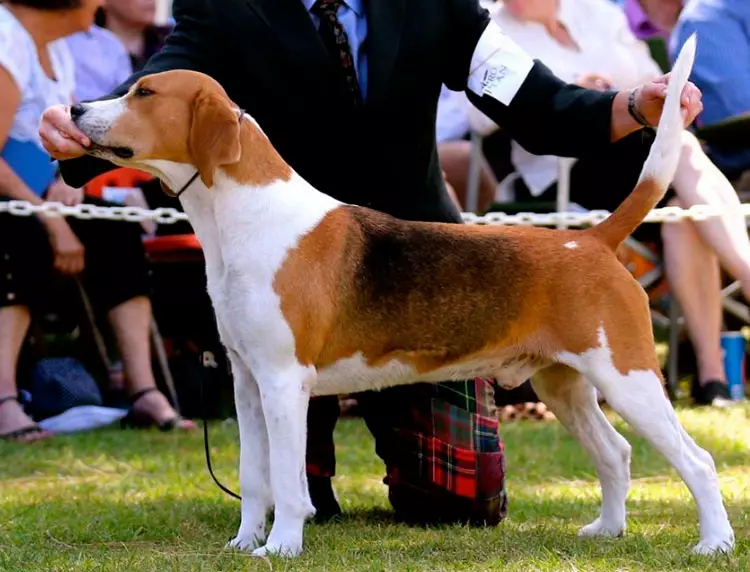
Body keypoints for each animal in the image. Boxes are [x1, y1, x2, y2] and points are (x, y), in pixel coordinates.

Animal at [69, 35, 736, 560]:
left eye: (145, 94)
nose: (73, 107)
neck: (245, 214)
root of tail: (591, 239)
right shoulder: (247, 382)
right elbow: (254, 478)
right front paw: (244, 542)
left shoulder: (284, 382)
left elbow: (285, 478)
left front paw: (280, 547)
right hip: (563, 383)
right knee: (616, 453)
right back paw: (608, 530)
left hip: (628, 377)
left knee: (696, 462)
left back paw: (714, 542)